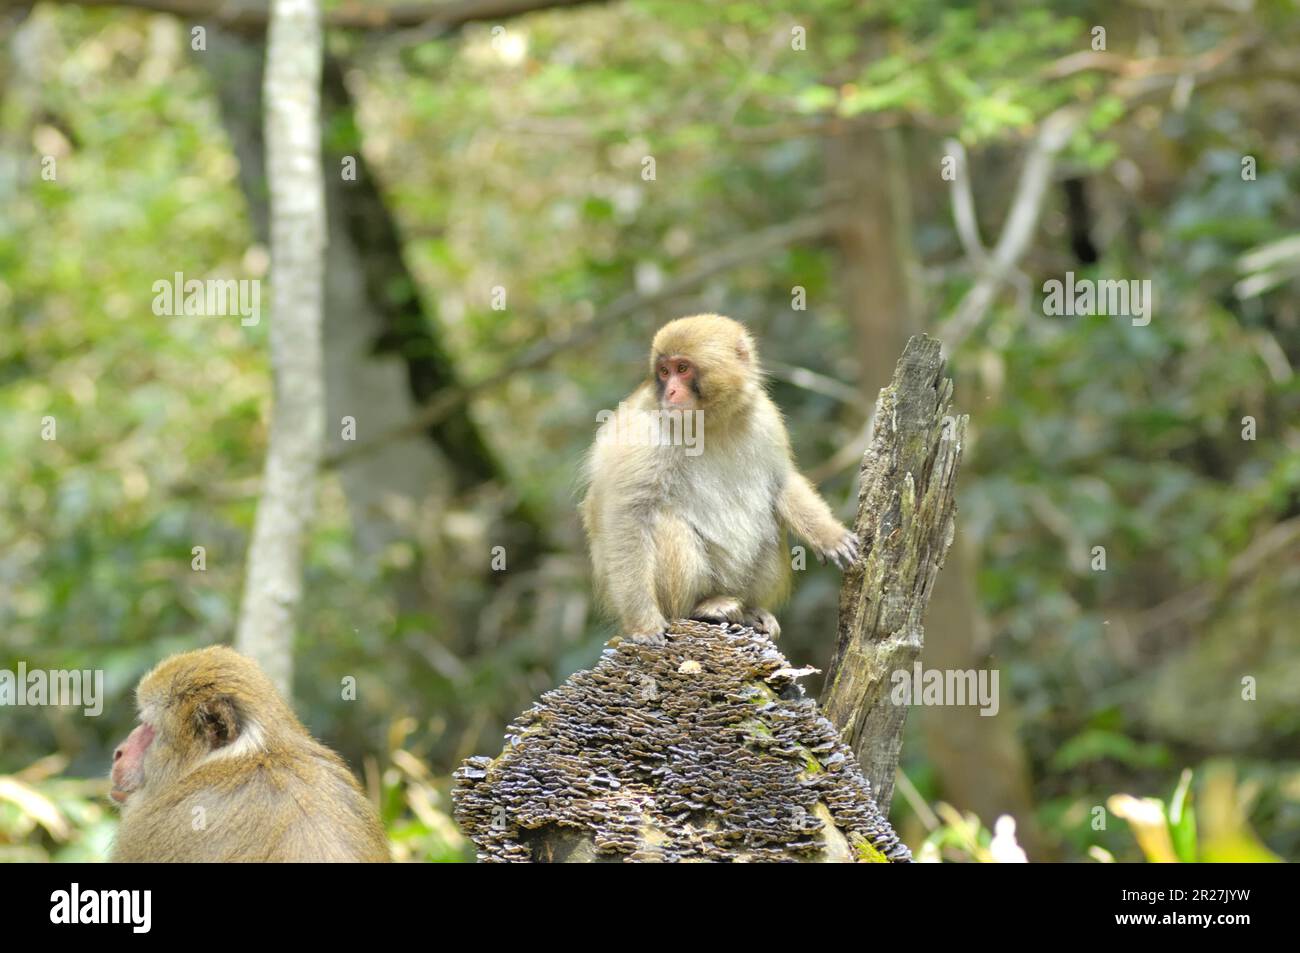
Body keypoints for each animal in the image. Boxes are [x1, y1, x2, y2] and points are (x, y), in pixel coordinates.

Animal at [580, 313, 858, 644]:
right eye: (664, 372)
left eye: (682, 369)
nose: (670, 392)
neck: (710, 421)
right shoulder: (645, 434)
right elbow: (626, 517)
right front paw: (643, 624)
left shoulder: (764, 415)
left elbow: (781, 482)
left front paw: (829, 536)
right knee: (665, 524)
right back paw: (702, 607)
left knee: (768, 525)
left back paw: (750, 610)